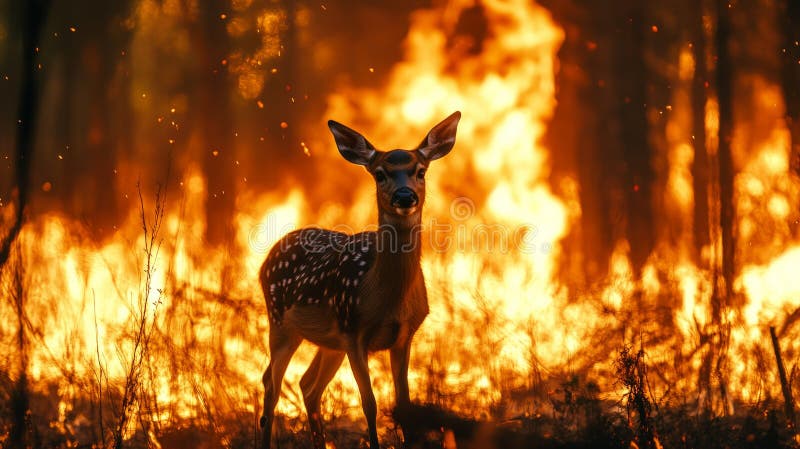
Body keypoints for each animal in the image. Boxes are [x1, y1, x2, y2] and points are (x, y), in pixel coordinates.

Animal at [258, 111, 461, 449]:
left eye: (420, 171)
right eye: (379, 174)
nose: (405, 195)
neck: (384, 298)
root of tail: (267, 258)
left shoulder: (405, 335)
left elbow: (404, 404)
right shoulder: (354, 332)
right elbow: (370, 404)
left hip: (328, 341)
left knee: (307, 385)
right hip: (281, 322)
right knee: (271, 385)